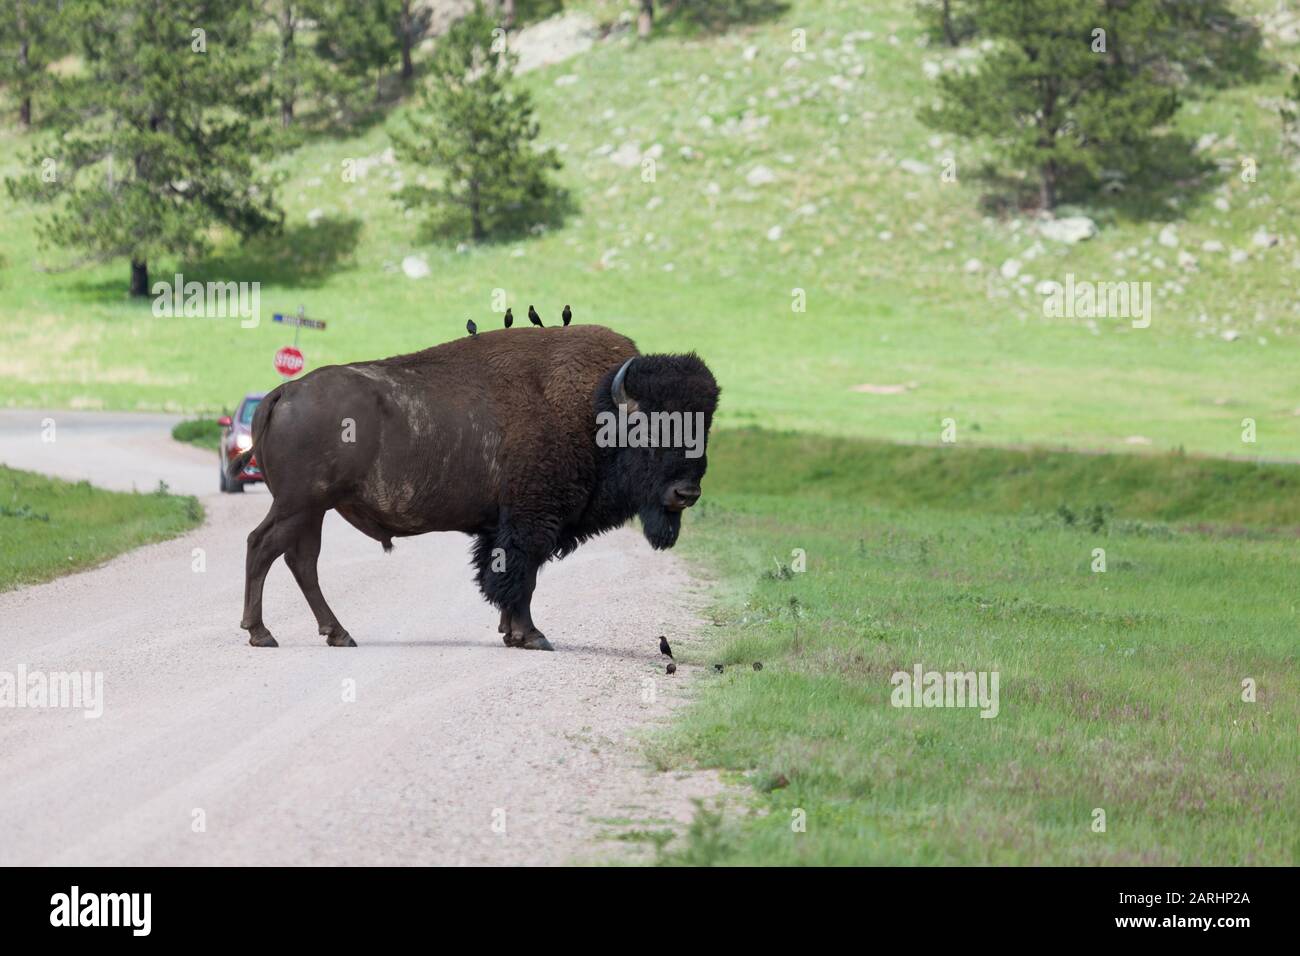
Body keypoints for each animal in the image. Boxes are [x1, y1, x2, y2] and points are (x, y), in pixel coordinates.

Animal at [229, 325, 720, 650]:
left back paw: (337, 633)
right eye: (648, 431)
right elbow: (520, 577)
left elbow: (506, 576)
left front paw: (510, 632)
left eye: (705, 427)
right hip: (300, 505)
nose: (685, 494)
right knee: (263, 546)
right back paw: (262, 633)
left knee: (299, 560)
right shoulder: (530, 521)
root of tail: (284, 393)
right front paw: (531, 636)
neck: (597, 409)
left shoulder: (503, 526)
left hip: (312, 510)